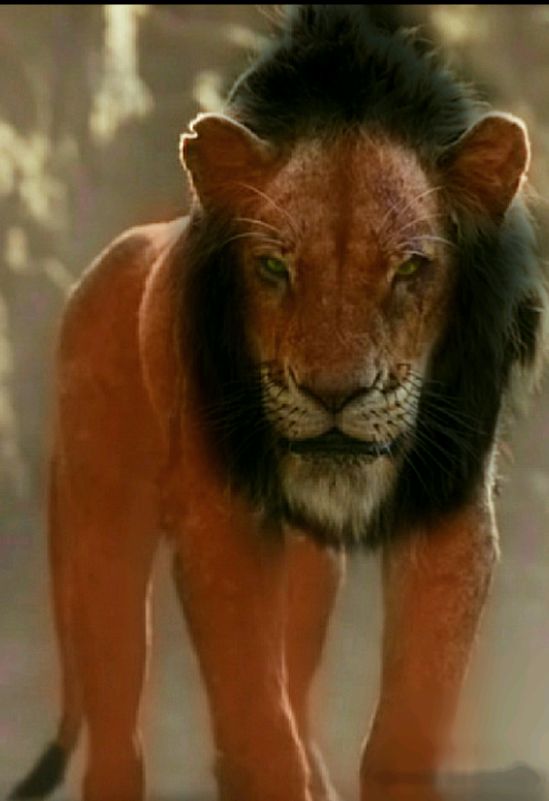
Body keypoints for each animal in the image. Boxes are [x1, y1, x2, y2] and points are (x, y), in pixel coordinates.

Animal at [10, 6, 547, 801]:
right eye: (272, 267)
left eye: (409, 268)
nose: (334, 394)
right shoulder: (221, 519)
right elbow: (258, 731)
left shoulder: (452, 513)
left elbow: (405, 729)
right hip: (104, 525)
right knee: (116, 723)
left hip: (309, 569)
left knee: (295, 681)